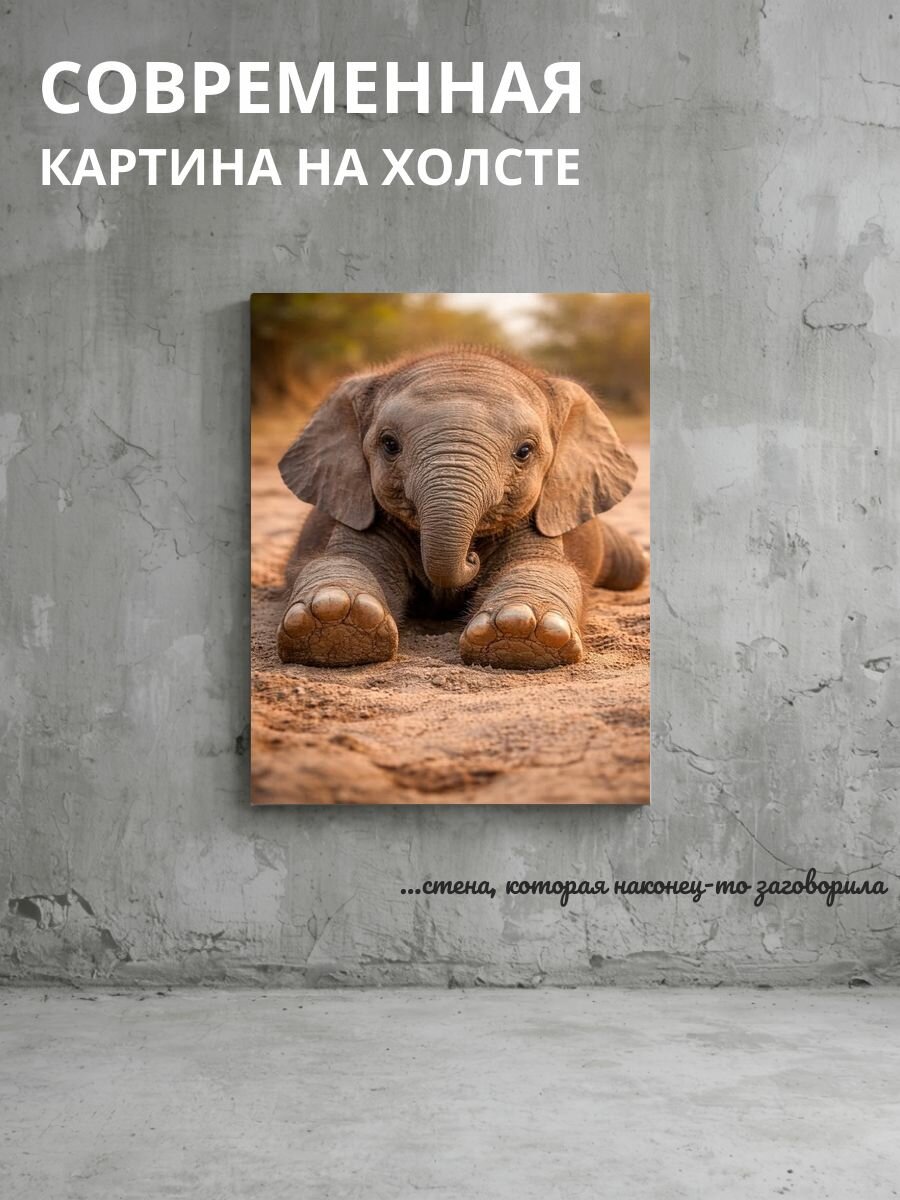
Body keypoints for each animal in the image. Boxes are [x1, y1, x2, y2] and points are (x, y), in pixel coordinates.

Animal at [274, 347, 646, 671]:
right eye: (390, 444)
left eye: (524, 451)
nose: (471, 557)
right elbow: (345, 558)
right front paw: (336, 620)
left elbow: (543, 566)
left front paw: (521, 631)